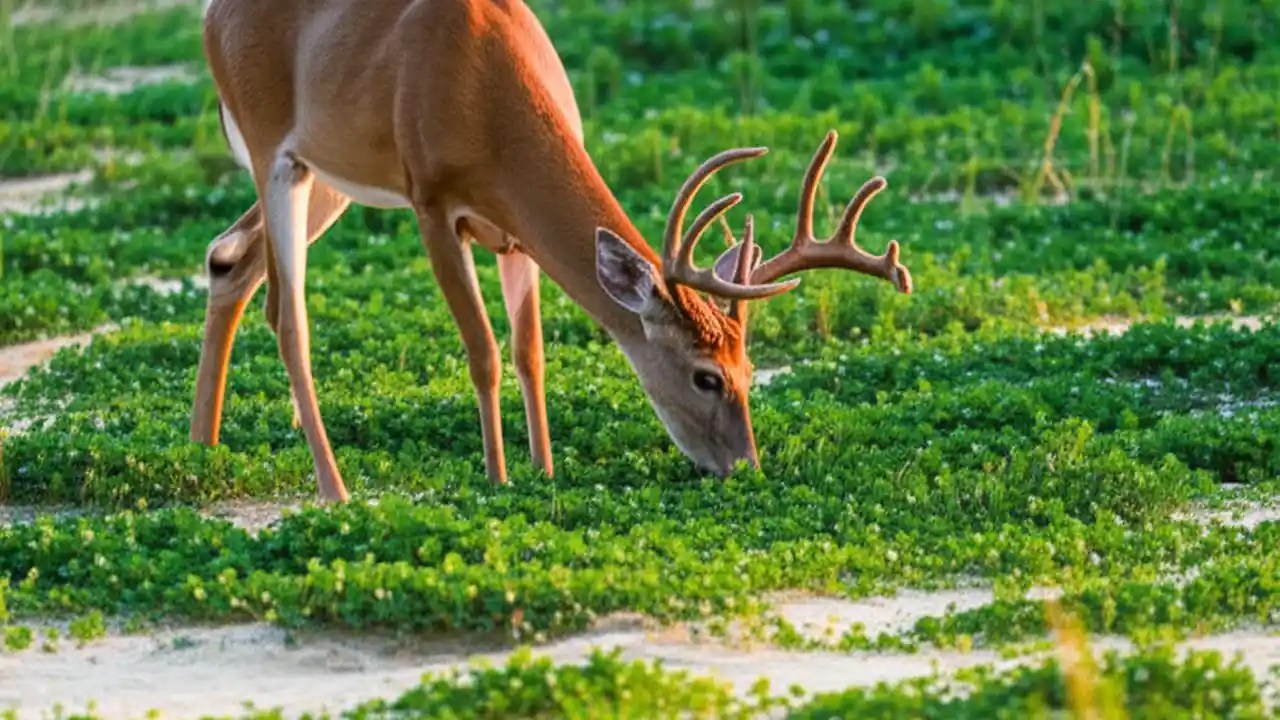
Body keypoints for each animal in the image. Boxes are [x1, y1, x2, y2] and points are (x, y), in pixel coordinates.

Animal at [190, 0, 912, 503]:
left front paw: (543, 471)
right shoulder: (432, 202)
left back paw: (203, 446)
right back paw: (332, 488)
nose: (744, 468)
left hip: (328, 178)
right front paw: (499, 479)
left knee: (230, 258)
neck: (485, 93)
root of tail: (212, 14)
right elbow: (483, 350)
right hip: (274, 152)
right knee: (289, 318)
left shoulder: (516, 234)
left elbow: (529, 351)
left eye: (750, 367)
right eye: (706, 376)